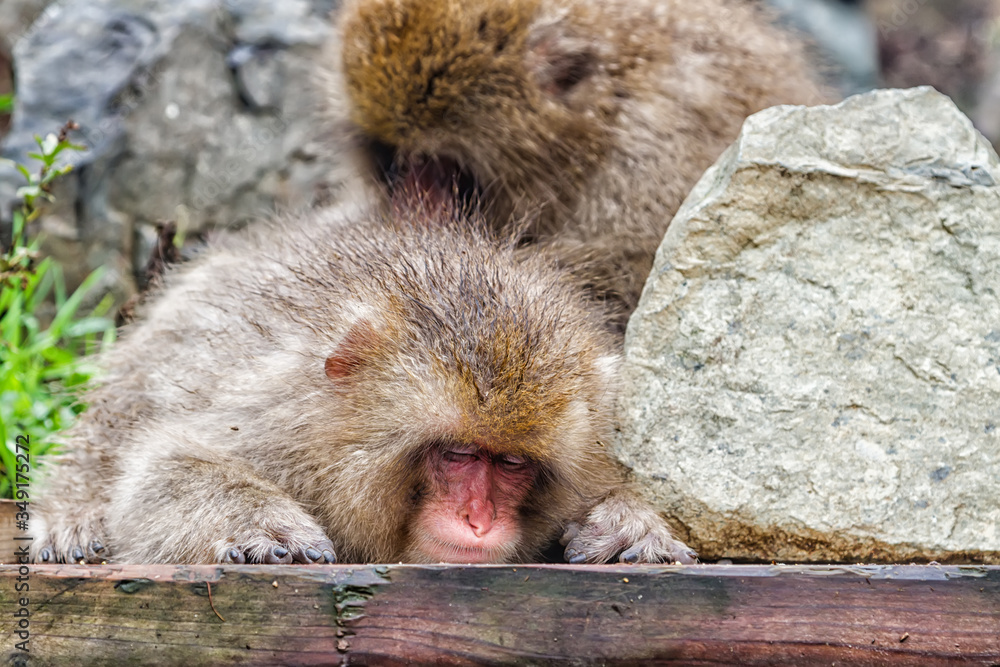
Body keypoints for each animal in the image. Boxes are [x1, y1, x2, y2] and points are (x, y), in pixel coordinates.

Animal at [28, 202, 696, 566]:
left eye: (511, 463)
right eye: (457, 454)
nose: (479, 520)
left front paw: (630, 525)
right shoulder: (282, 429)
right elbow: (162, 470)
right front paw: (255, 524)